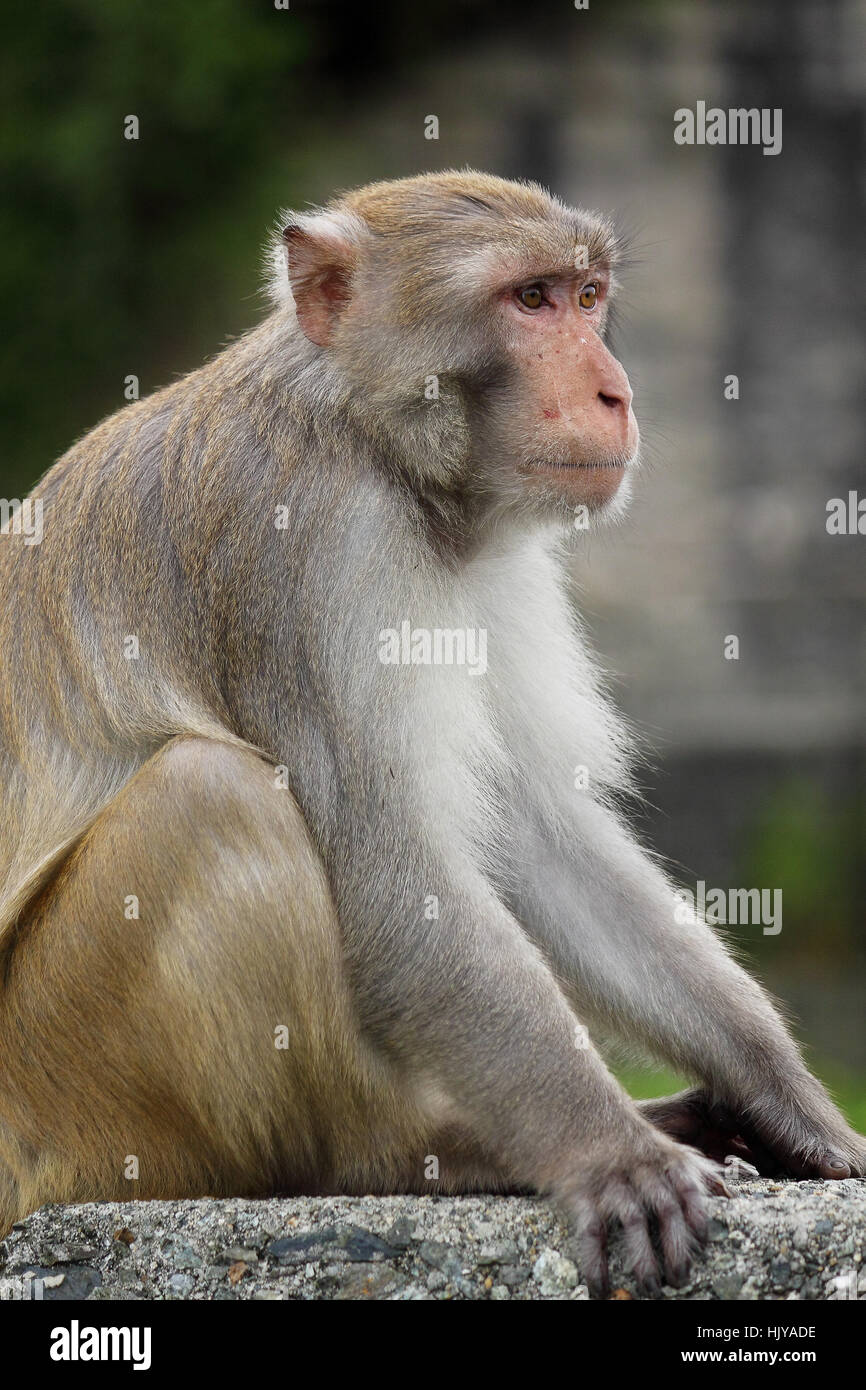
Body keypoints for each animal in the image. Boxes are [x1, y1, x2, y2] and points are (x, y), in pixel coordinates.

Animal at [0, 170, 862, 1299]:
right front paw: (610, 1155)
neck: (383, 451)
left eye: (586, 296)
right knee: (210, 793)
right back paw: (410, 1148)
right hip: (69, 1080)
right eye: (528, 299)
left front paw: (784, 1095)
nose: (615, 393)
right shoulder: (310, 550)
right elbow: (393, 878)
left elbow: (538, 839)